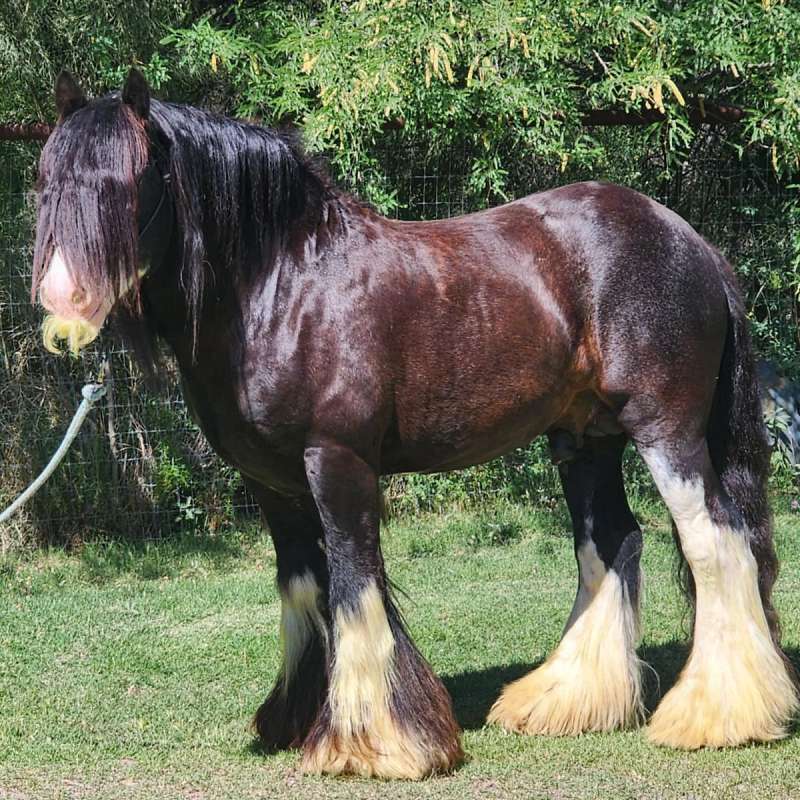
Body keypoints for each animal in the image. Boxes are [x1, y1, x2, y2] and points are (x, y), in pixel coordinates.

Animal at [32, 69, 798, 779]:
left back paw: (716, 716)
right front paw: (298, 718)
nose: (63, 307)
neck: (285, 286)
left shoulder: (338, 461)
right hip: (587, 440)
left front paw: (373, 743)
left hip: (665, 430)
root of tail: (689, 240)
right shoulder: (274, 483)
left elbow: (353, 582)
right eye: (45, 180)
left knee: (716, 543)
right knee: (610, 543)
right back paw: (564, 701)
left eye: (129, 182)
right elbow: (304, 586)